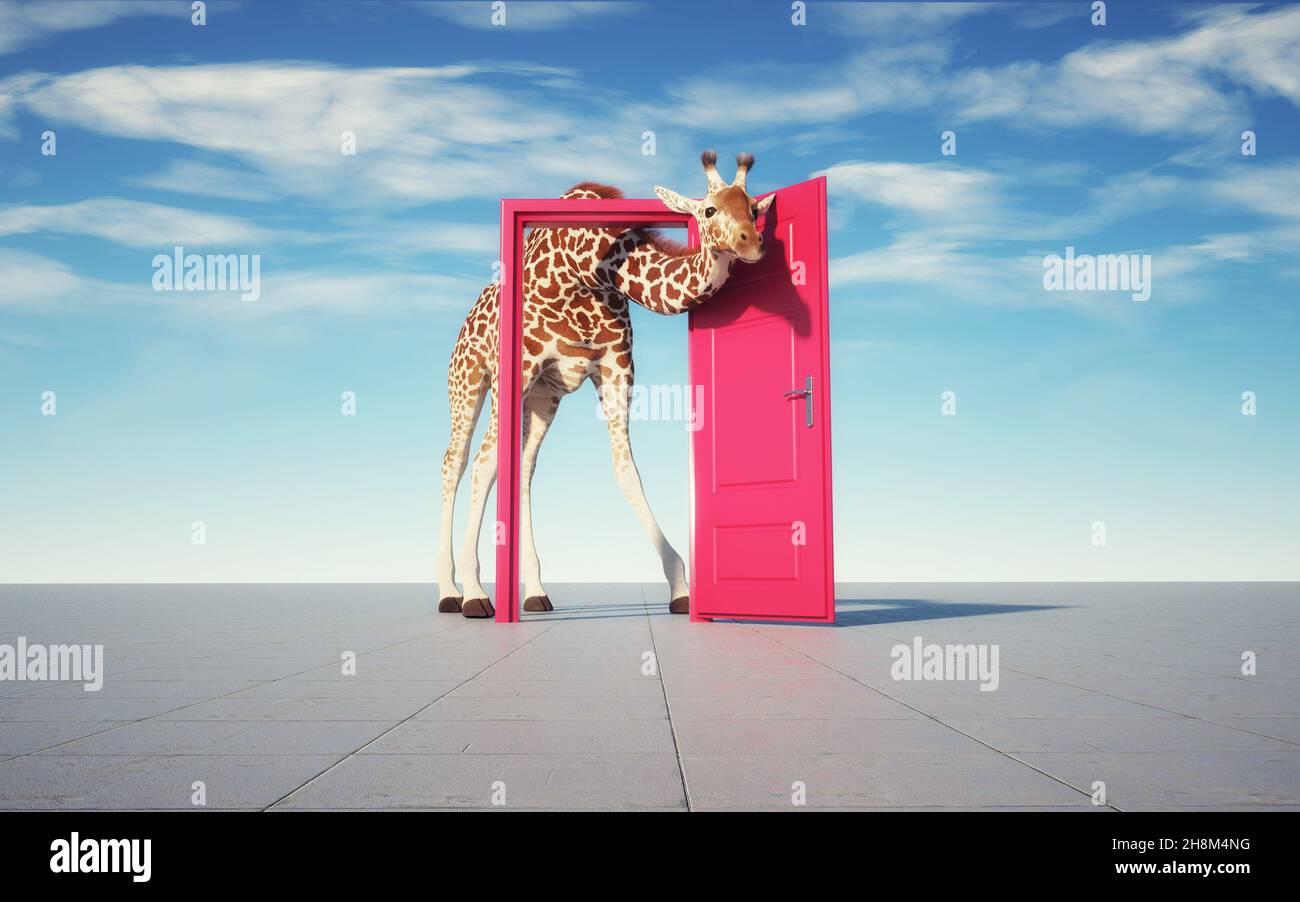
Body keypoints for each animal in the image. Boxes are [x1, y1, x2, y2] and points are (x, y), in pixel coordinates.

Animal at [436, 151, 774, 618]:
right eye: (709, 209)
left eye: (755, 208)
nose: (750, 242)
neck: (592, 267)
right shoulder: (520, 366)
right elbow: (486, 463)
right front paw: (474, 591)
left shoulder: (616, 365)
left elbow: (626, 468)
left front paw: (680, 587)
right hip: (470, 380)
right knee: (459, 461)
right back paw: (452, 591)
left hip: (542, 400)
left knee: (522, 468)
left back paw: (535, 591)